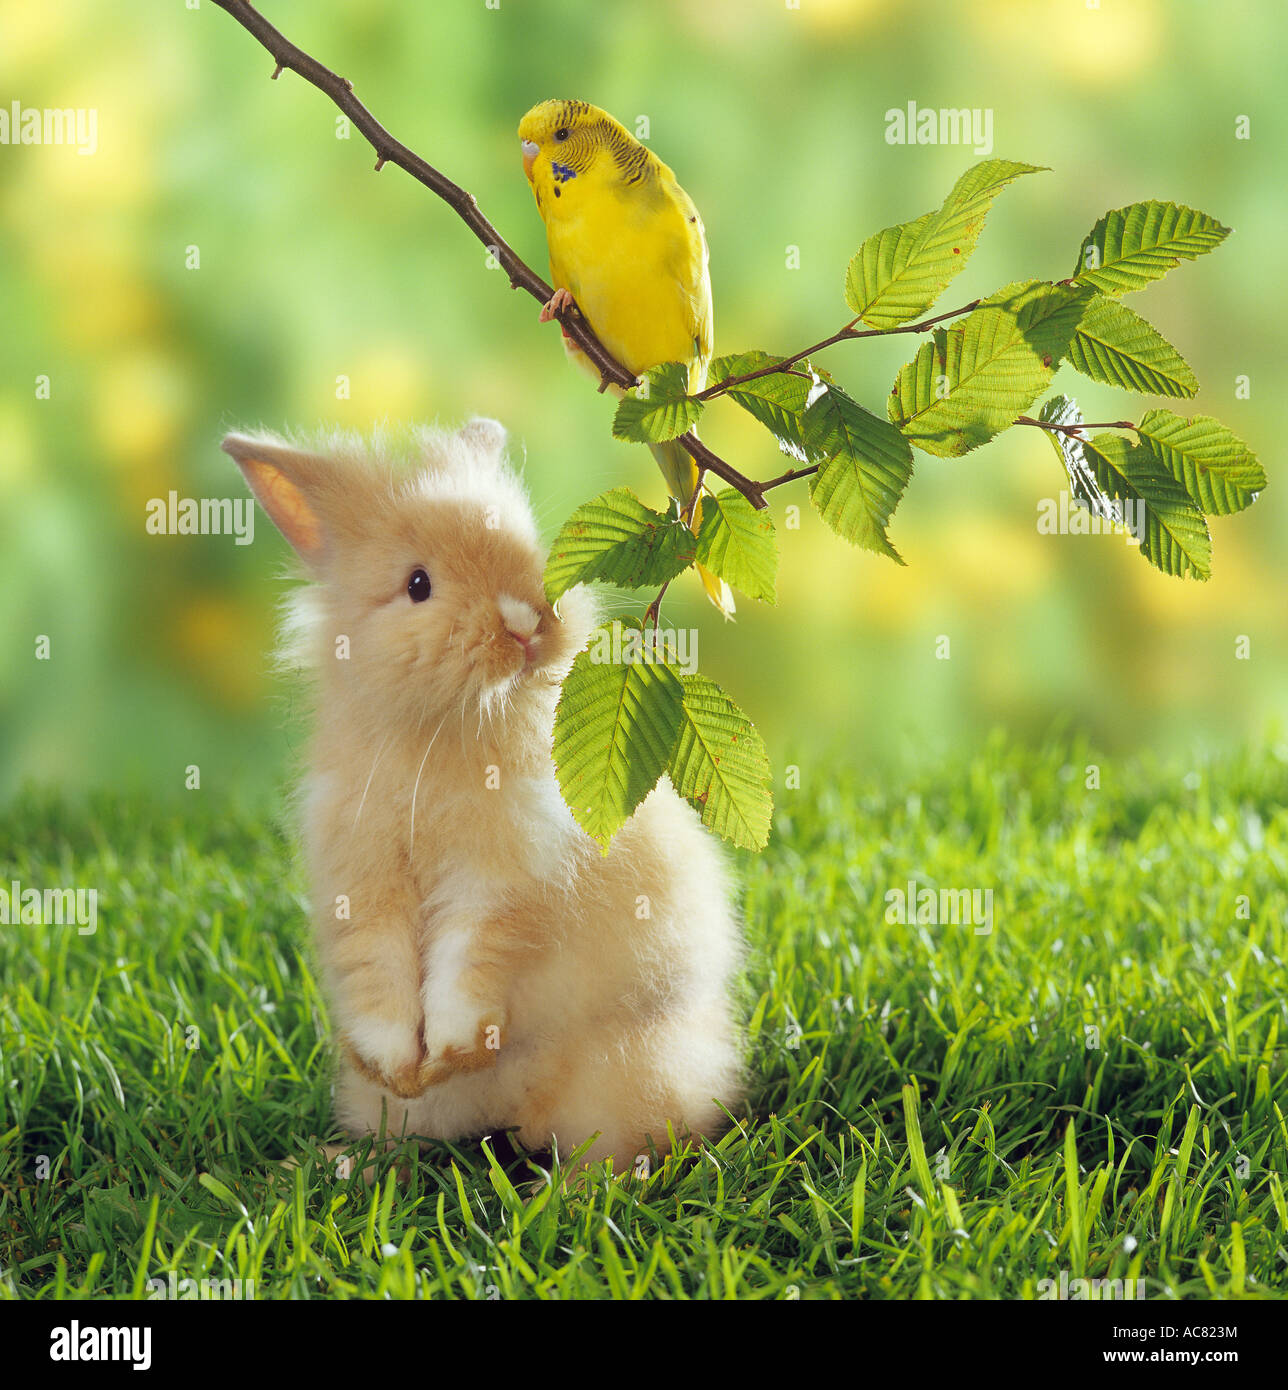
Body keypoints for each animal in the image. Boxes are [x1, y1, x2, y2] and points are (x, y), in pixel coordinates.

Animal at [224, 419, 745, 1172]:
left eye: (533, 553)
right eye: (418, 585)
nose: (526, 624)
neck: (446, 730)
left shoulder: (502, 881)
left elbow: (465, 967)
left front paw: (449, 1053)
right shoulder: (363, 881)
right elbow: (380, 979)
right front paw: (405, 1069)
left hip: (628, 1071)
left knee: (619, 1145)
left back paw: (570, 1183)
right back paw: (340, 1161)